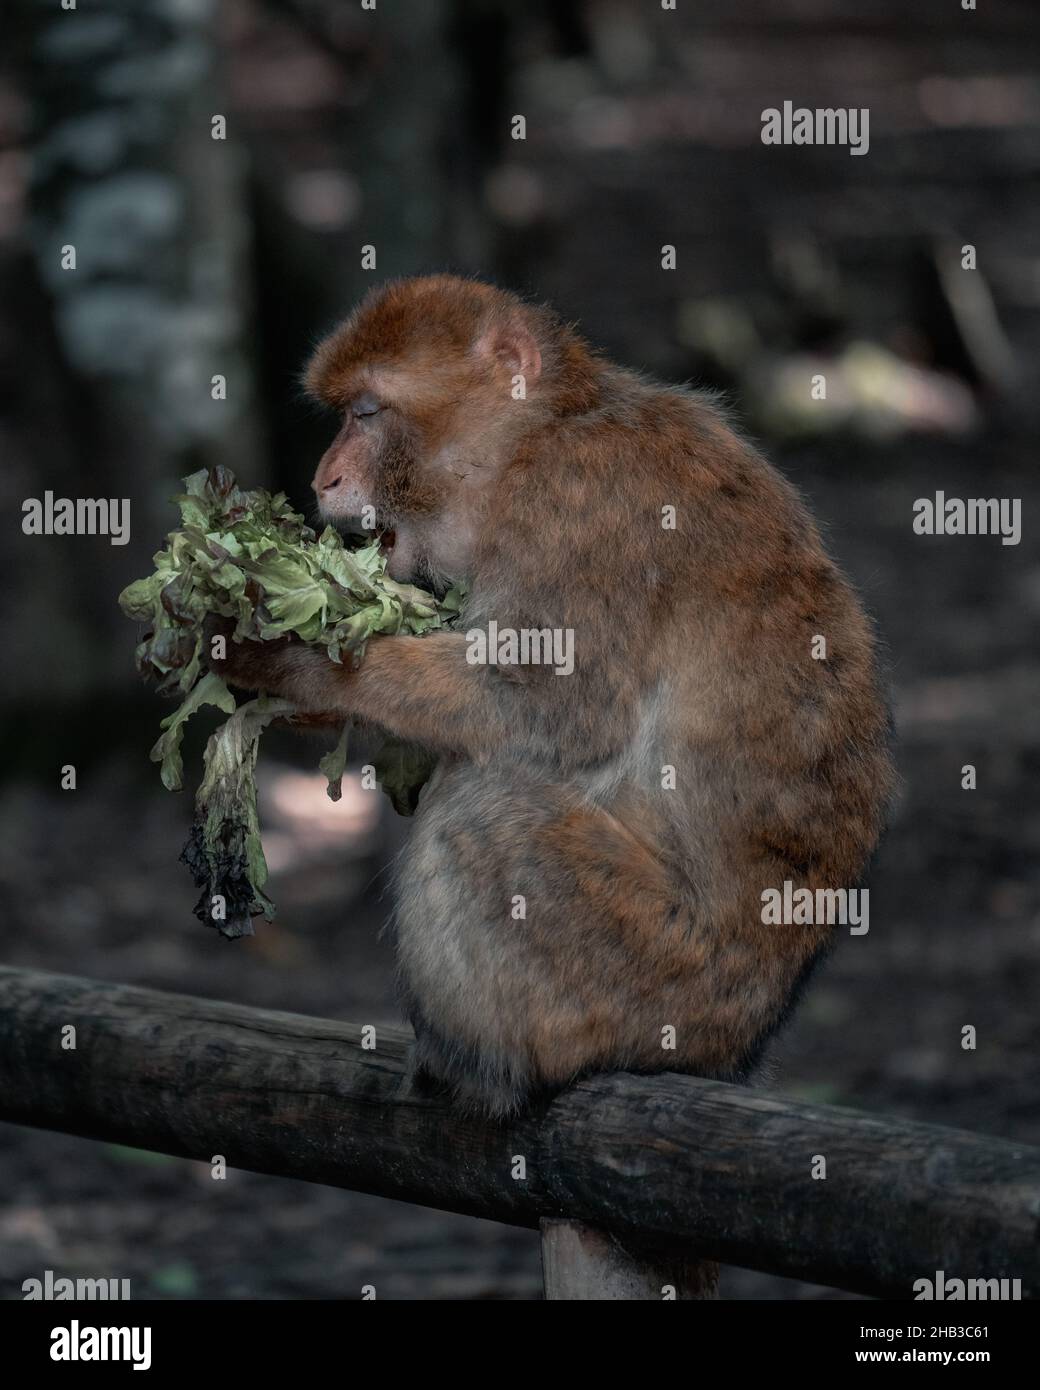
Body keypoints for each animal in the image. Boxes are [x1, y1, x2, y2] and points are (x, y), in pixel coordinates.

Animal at [211, 274, 895, 1117]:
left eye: (365, 412)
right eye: (342, 413)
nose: (322, 479)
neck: (534, 438)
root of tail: (735, 1046)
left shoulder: (572, 507)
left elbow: (555, 714)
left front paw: (283, 654)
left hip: (648, 979)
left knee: (486, 810)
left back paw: (480, 1064)